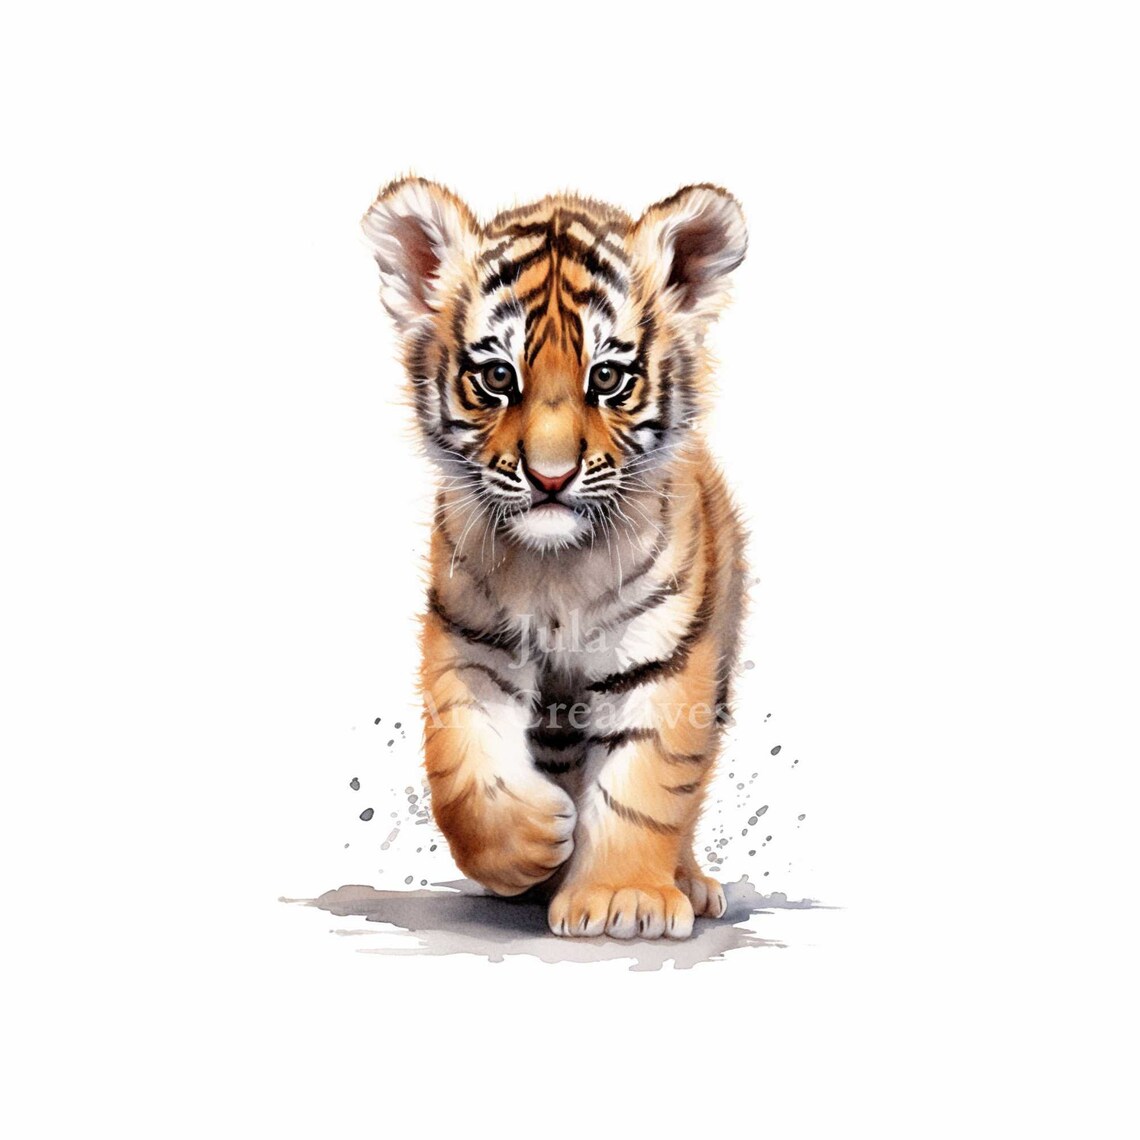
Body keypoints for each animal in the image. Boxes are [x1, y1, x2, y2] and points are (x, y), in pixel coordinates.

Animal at [362, 177, 749, 940]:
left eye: (608, 377)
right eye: (495, 376)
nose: (549, 477)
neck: (556, 567)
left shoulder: (664, 656)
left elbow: (645, 781)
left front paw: (623, 900)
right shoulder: (469, 642)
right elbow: (464, 766)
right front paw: (533, 841)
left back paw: (687, 882)